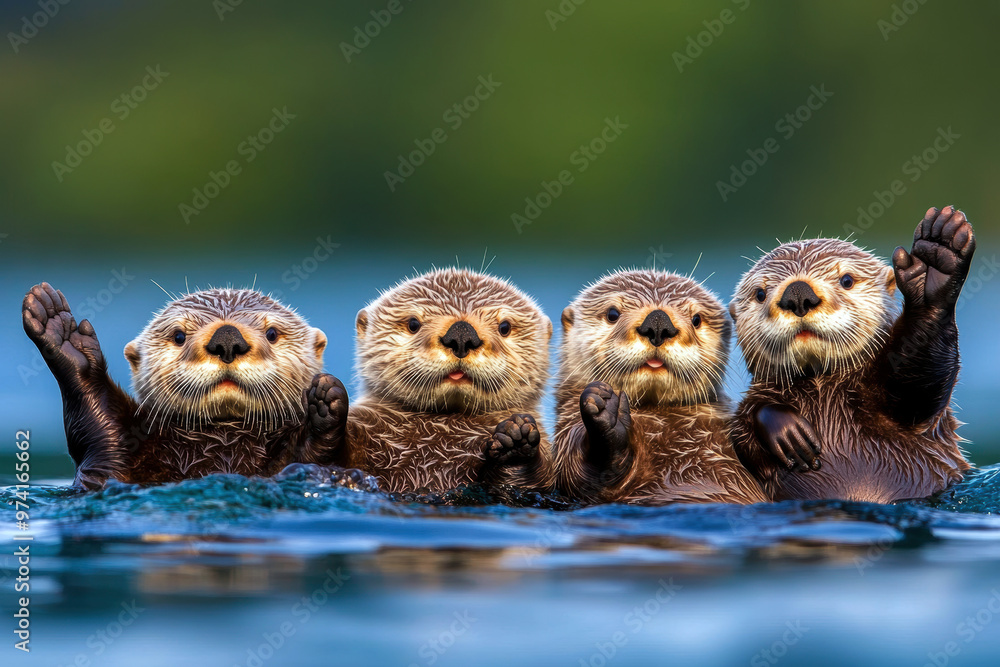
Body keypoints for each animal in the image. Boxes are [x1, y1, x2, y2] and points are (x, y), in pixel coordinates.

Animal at [552, 269, 767, 505]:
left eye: (696, 319)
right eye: (612, 314)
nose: (657, 322)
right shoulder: (566, 435)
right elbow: (582, 475)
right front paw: (605, 408)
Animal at [729, 206, 975, 503]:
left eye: (847, 280)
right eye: (760, 294)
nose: (797, 293)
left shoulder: (908, 405)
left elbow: (920, 382)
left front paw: (936, 262)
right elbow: (741, 430)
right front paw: (785, 429)